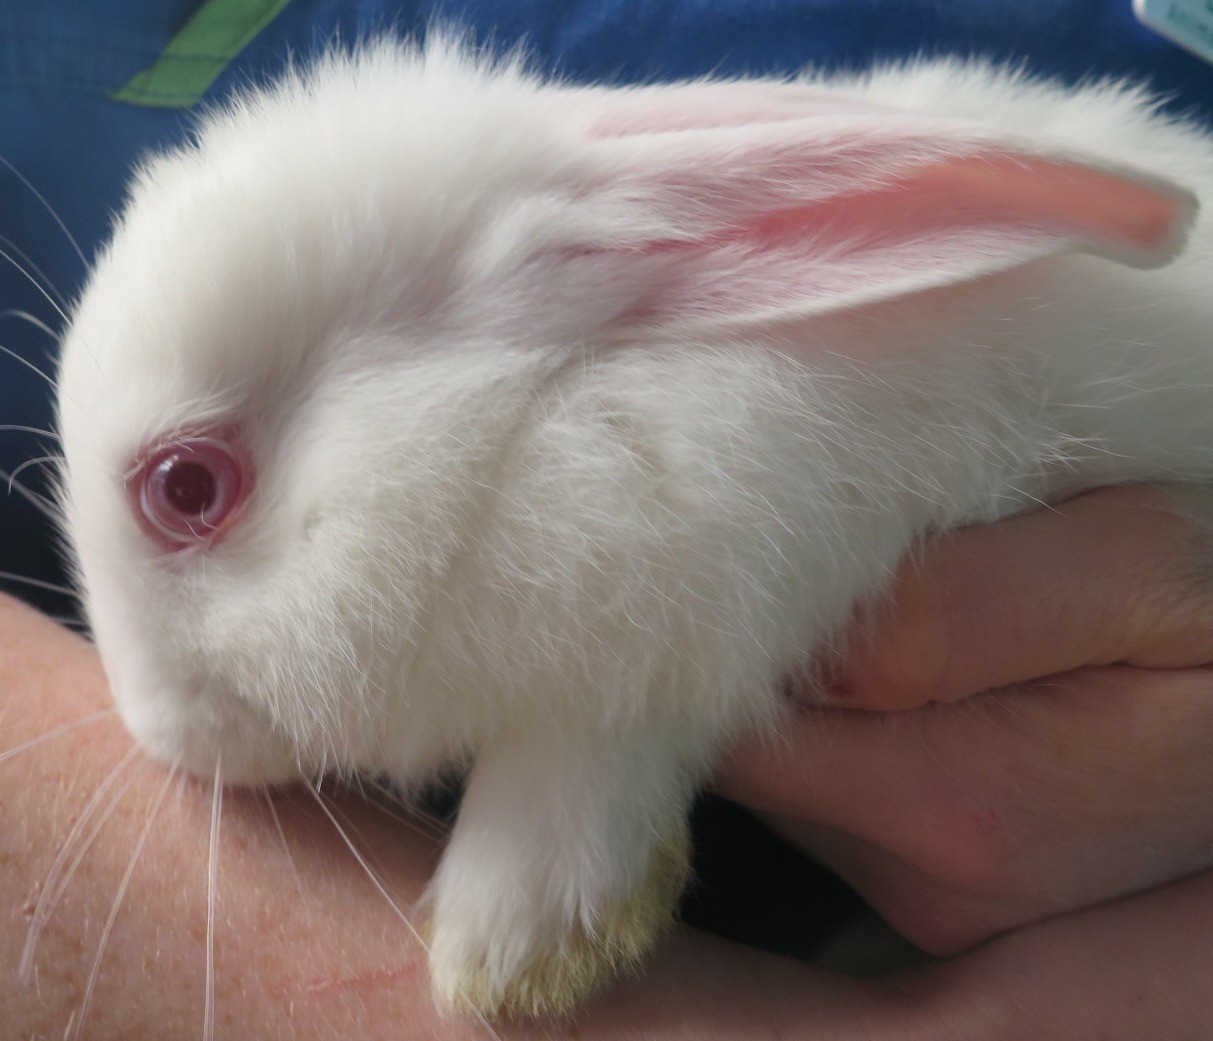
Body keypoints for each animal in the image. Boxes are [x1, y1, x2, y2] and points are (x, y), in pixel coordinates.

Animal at [54, 36, 1213, 1019]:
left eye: (186, 487)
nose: (149, 725)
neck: (547, 424)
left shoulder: (791, 529)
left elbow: (618, 713)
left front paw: (513, 938)